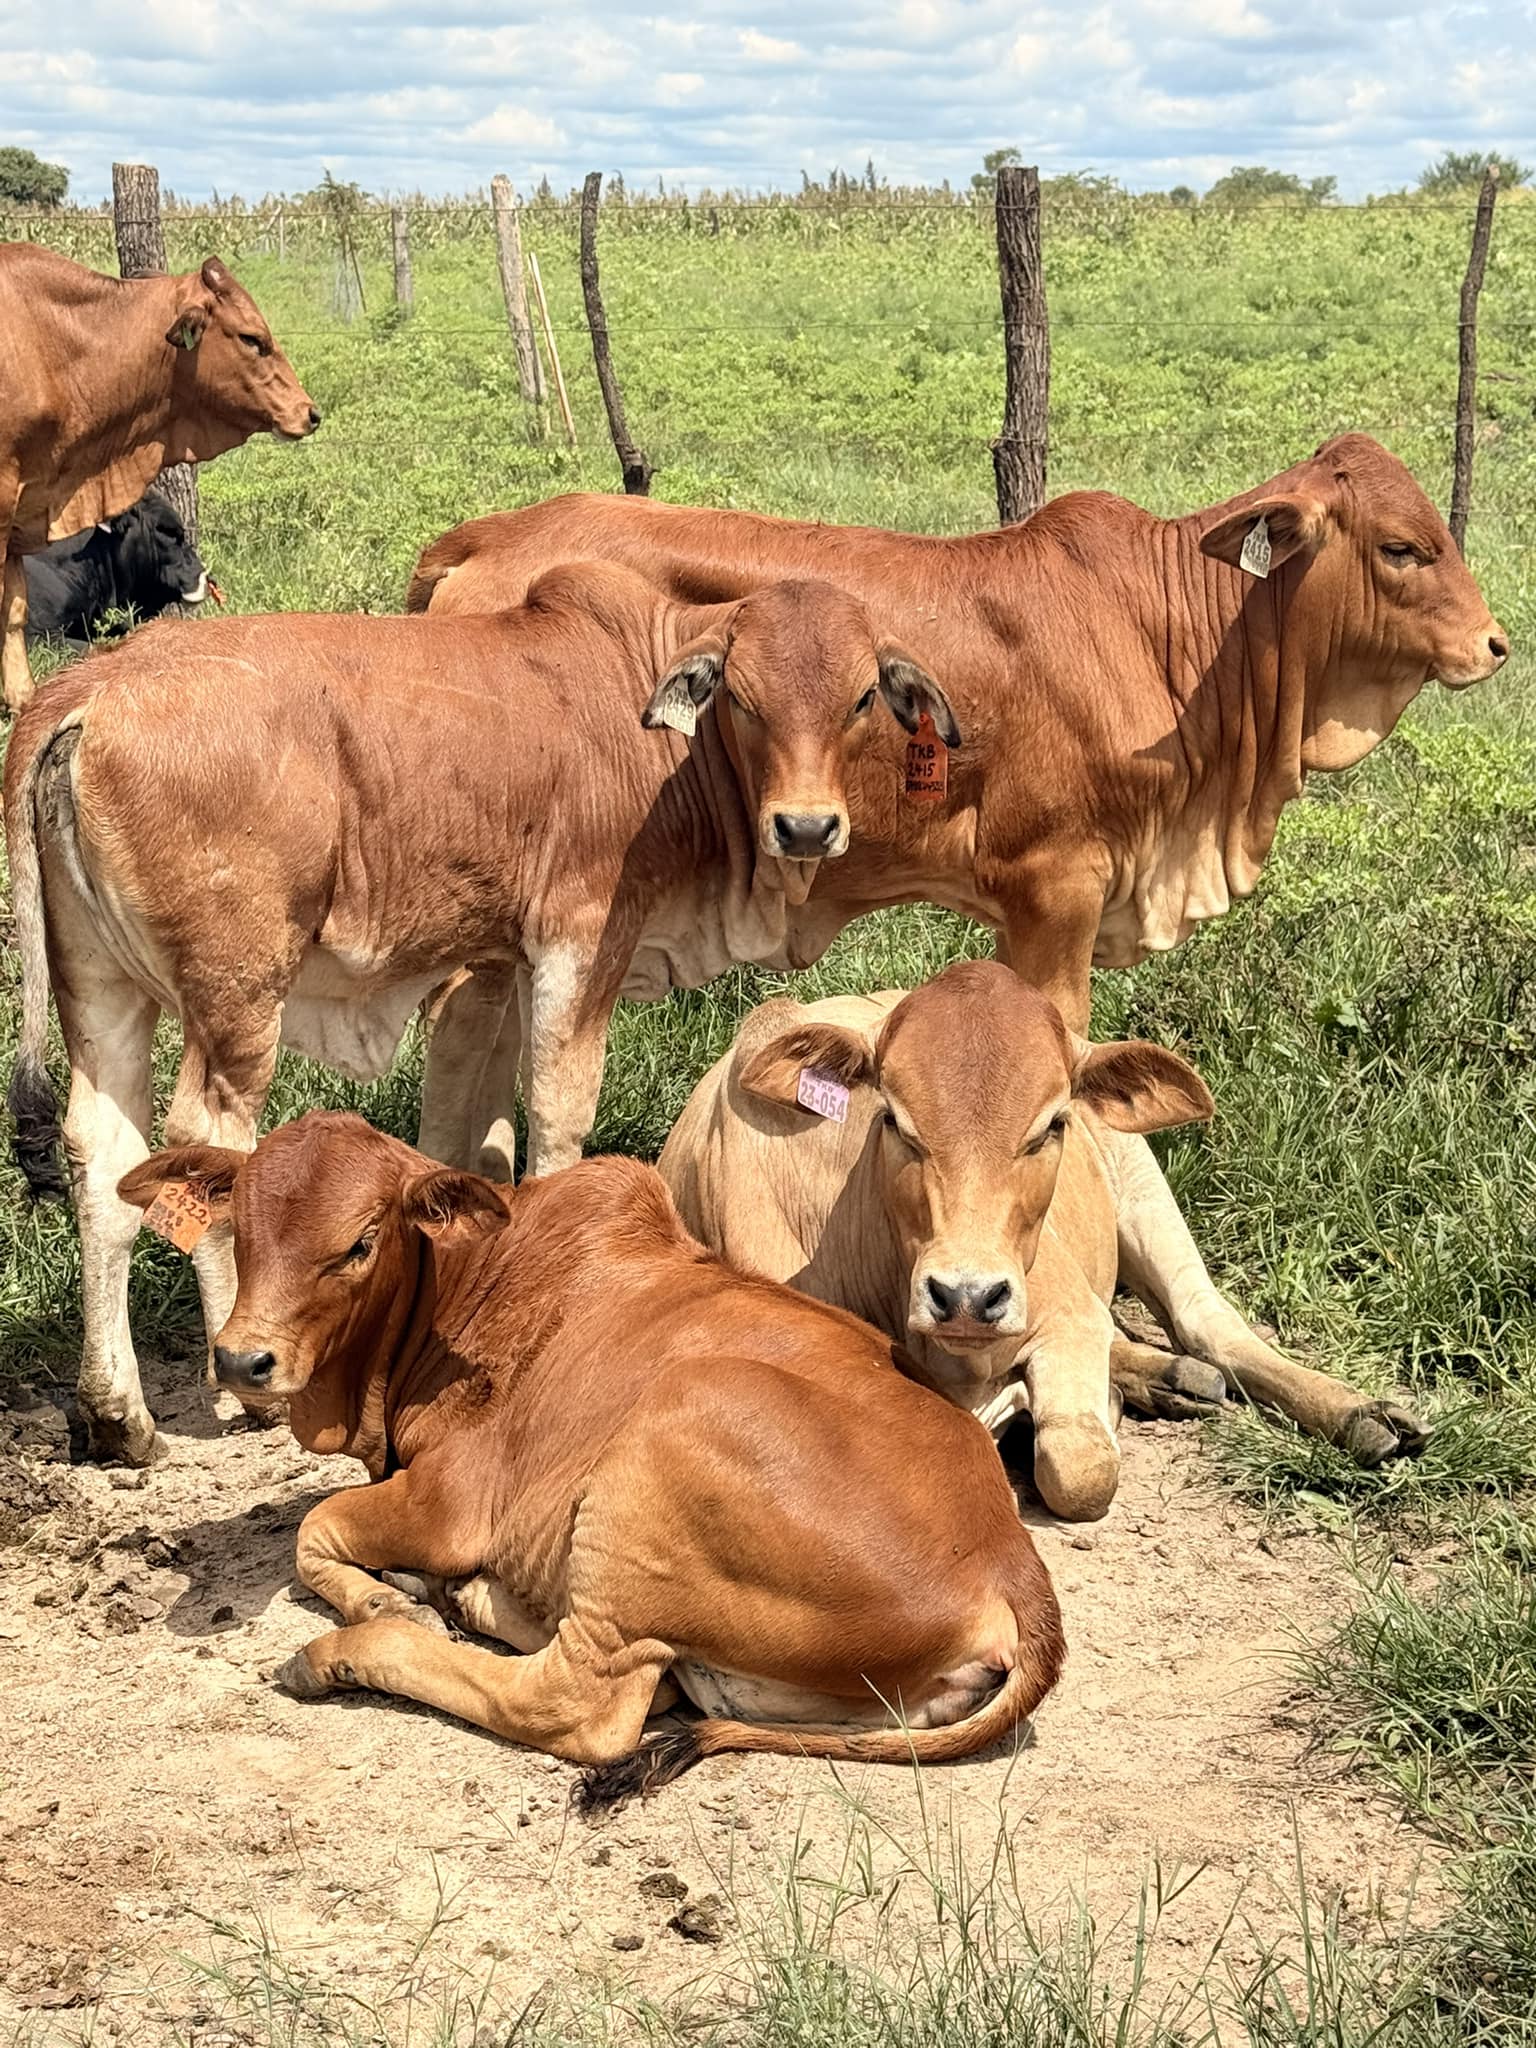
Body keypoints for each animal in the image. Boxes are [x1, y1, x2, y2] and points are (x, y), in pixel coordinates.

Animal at [4, 565, 958, 1463]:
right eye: (745, 700)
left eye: (861, 697)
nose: (806, 827)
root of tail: (88, 686)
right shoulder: (580, 940)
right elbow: (559, 1115)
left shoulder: (496, 962)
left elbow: (467, 1128)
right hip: (237, 997)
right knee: (209, 1146)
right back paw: (247, 1388)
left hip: (99, 986)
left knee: (102, 1157)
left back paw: (118, 1415)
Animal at [115, 1110, 1066, 1796]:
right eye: (241, 1232)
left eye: (359, 1243)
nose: (242, 1360)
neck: (466, 1281)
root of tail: (1013, 1571)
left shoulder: (450, 1501)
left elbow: (314, 1527)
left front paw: (382, 1599)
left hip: (660, 1468)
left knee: (573, 1707)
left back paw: (353, 1647)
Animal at [657, 962, 1429, 1519]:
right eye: (896, 1121)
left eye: (1051, 1123)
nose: (967, 1296)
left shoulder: (1066, 1313)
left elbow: (1080, 1469)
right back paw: (1167, 1379)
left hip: (1142, 1189)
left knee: (1209, 1326)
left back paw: (1361, 1414)